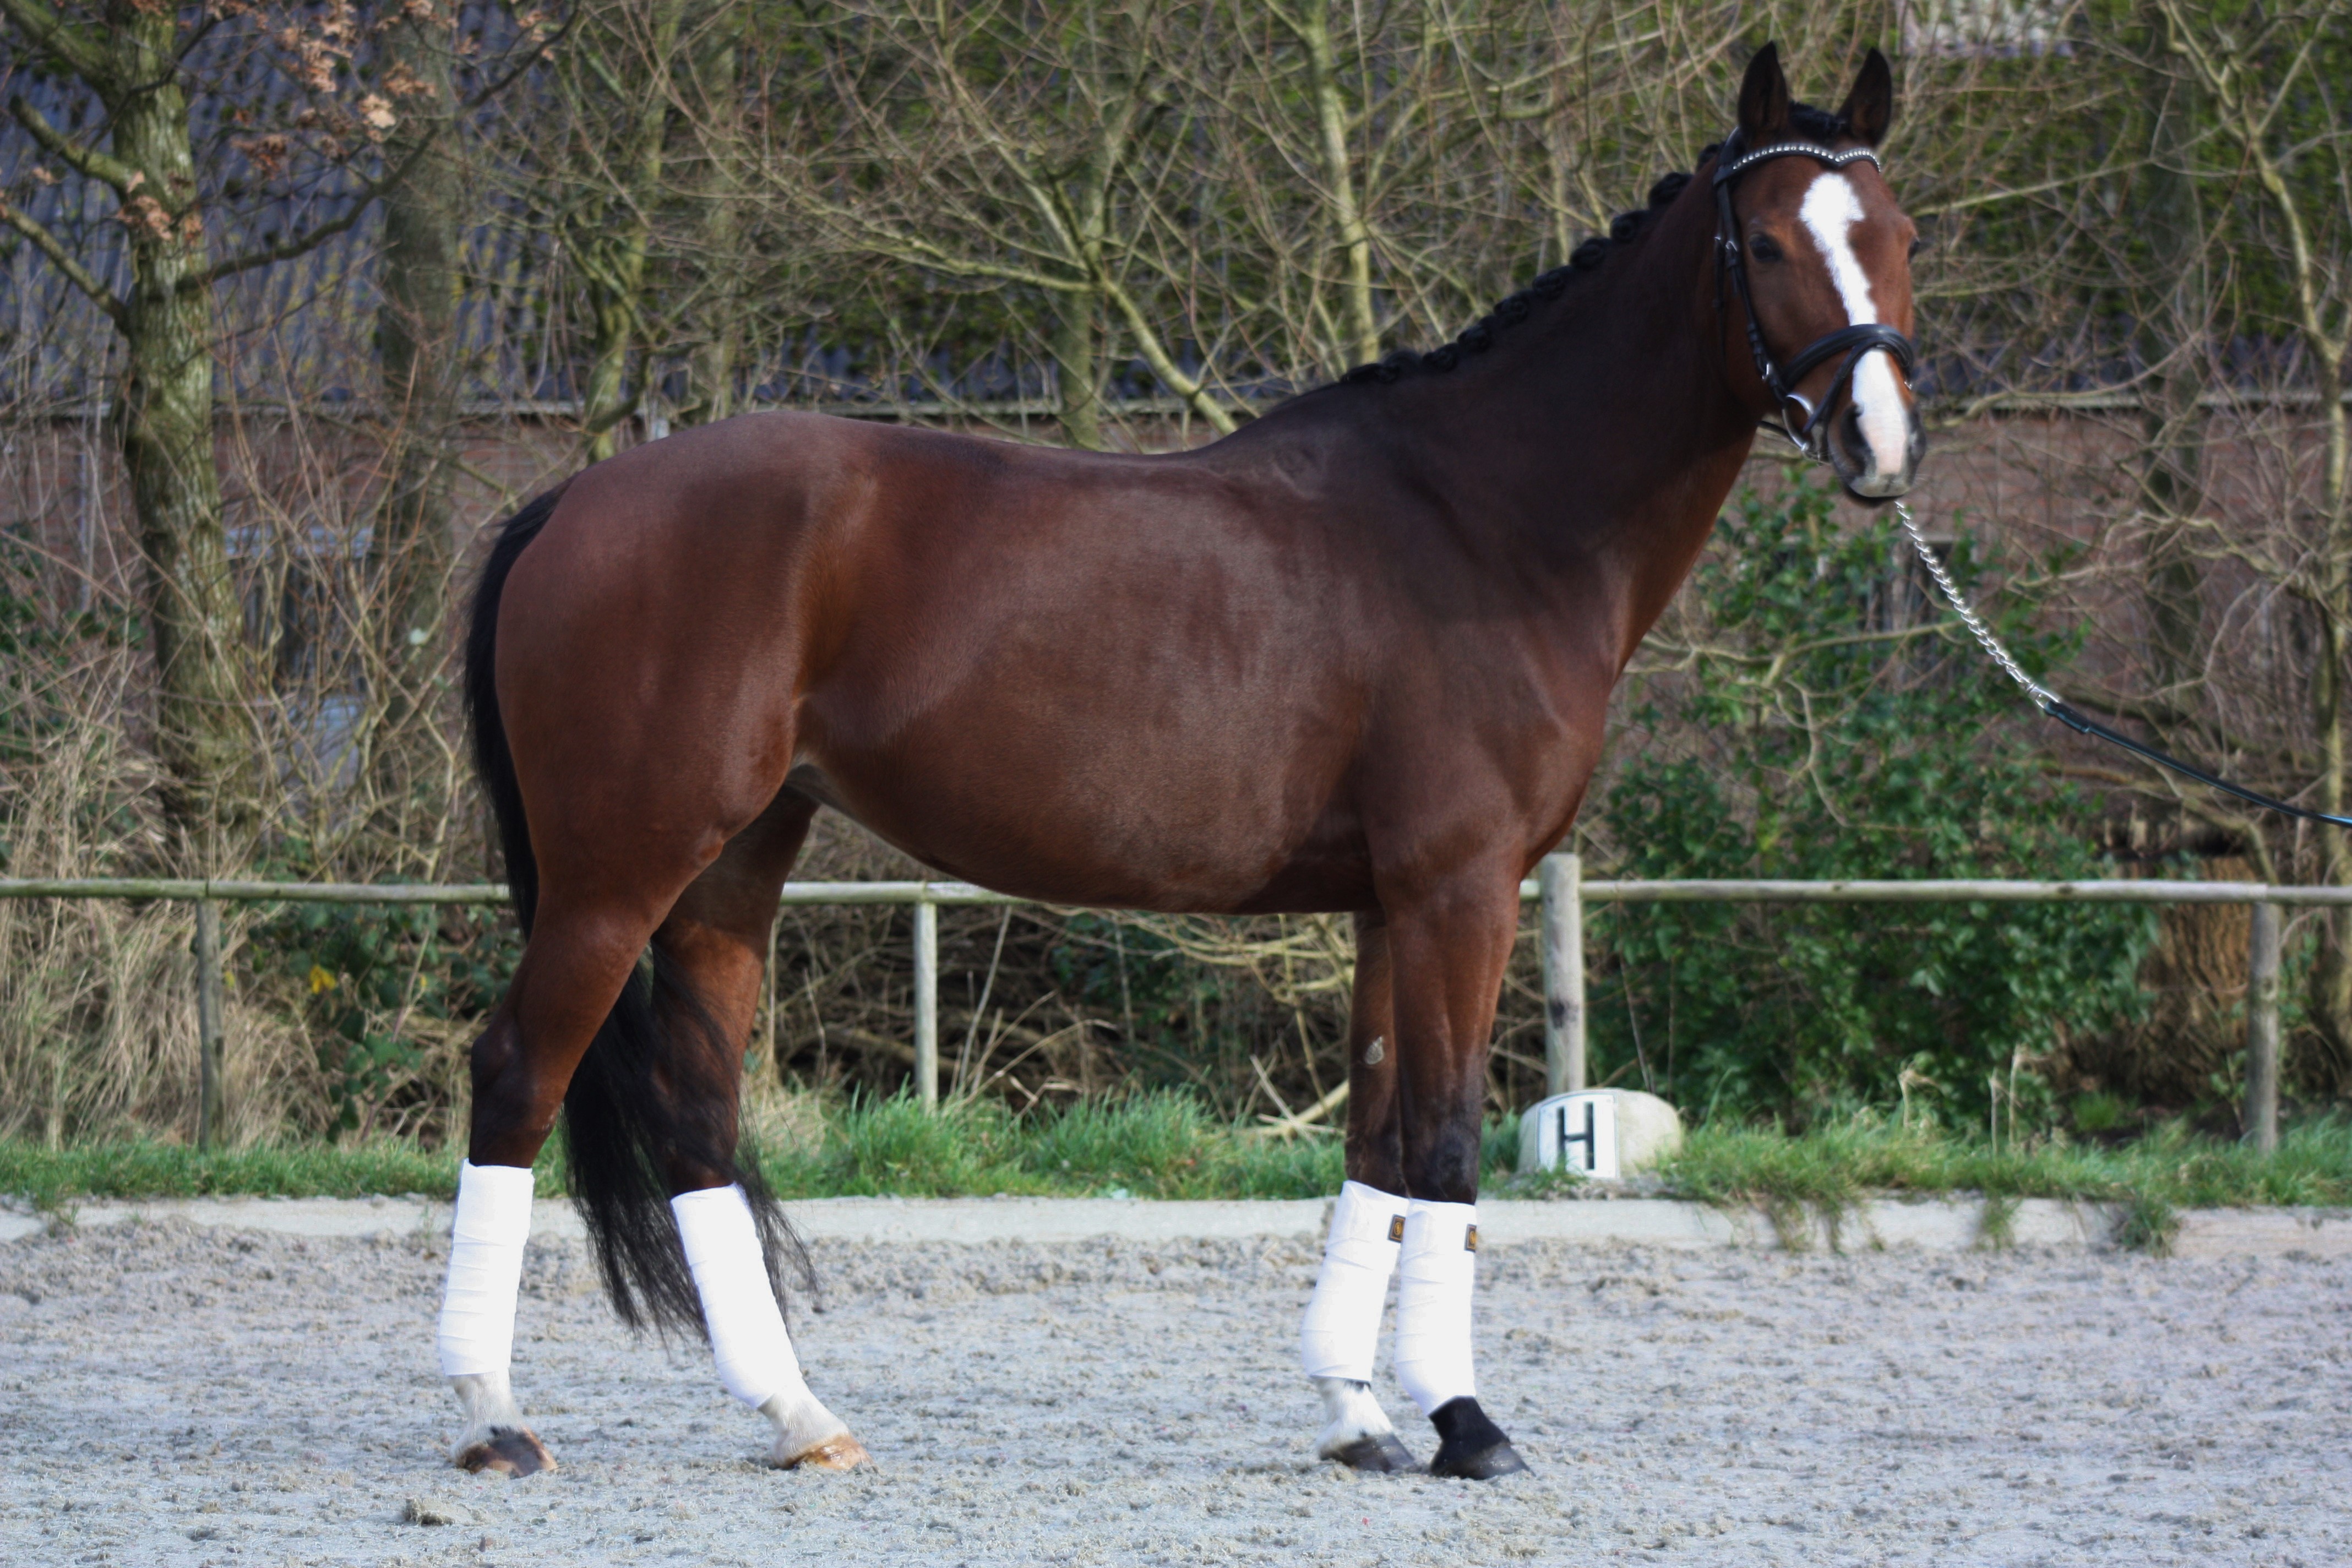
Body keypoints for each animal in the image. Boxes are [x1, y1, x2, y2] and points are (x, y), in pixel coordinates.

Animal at [435, 41, 1922, 1484]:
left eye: (1898, 233)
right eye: (1769, 242)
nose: (1882, 441)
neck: (1488, 520)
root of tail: (574, 497)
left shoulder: (1386, 904)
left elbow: (1377, 1140)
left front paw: (1358, 1414)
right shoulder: (1462, 887)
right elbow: (1445, 1142)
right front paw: (1464, 1419)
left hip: (734, 866)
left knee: (695, 1114)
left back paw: (799, 1414)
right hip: (617, 873)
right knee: (515, 1074)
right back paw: (492, 1413)